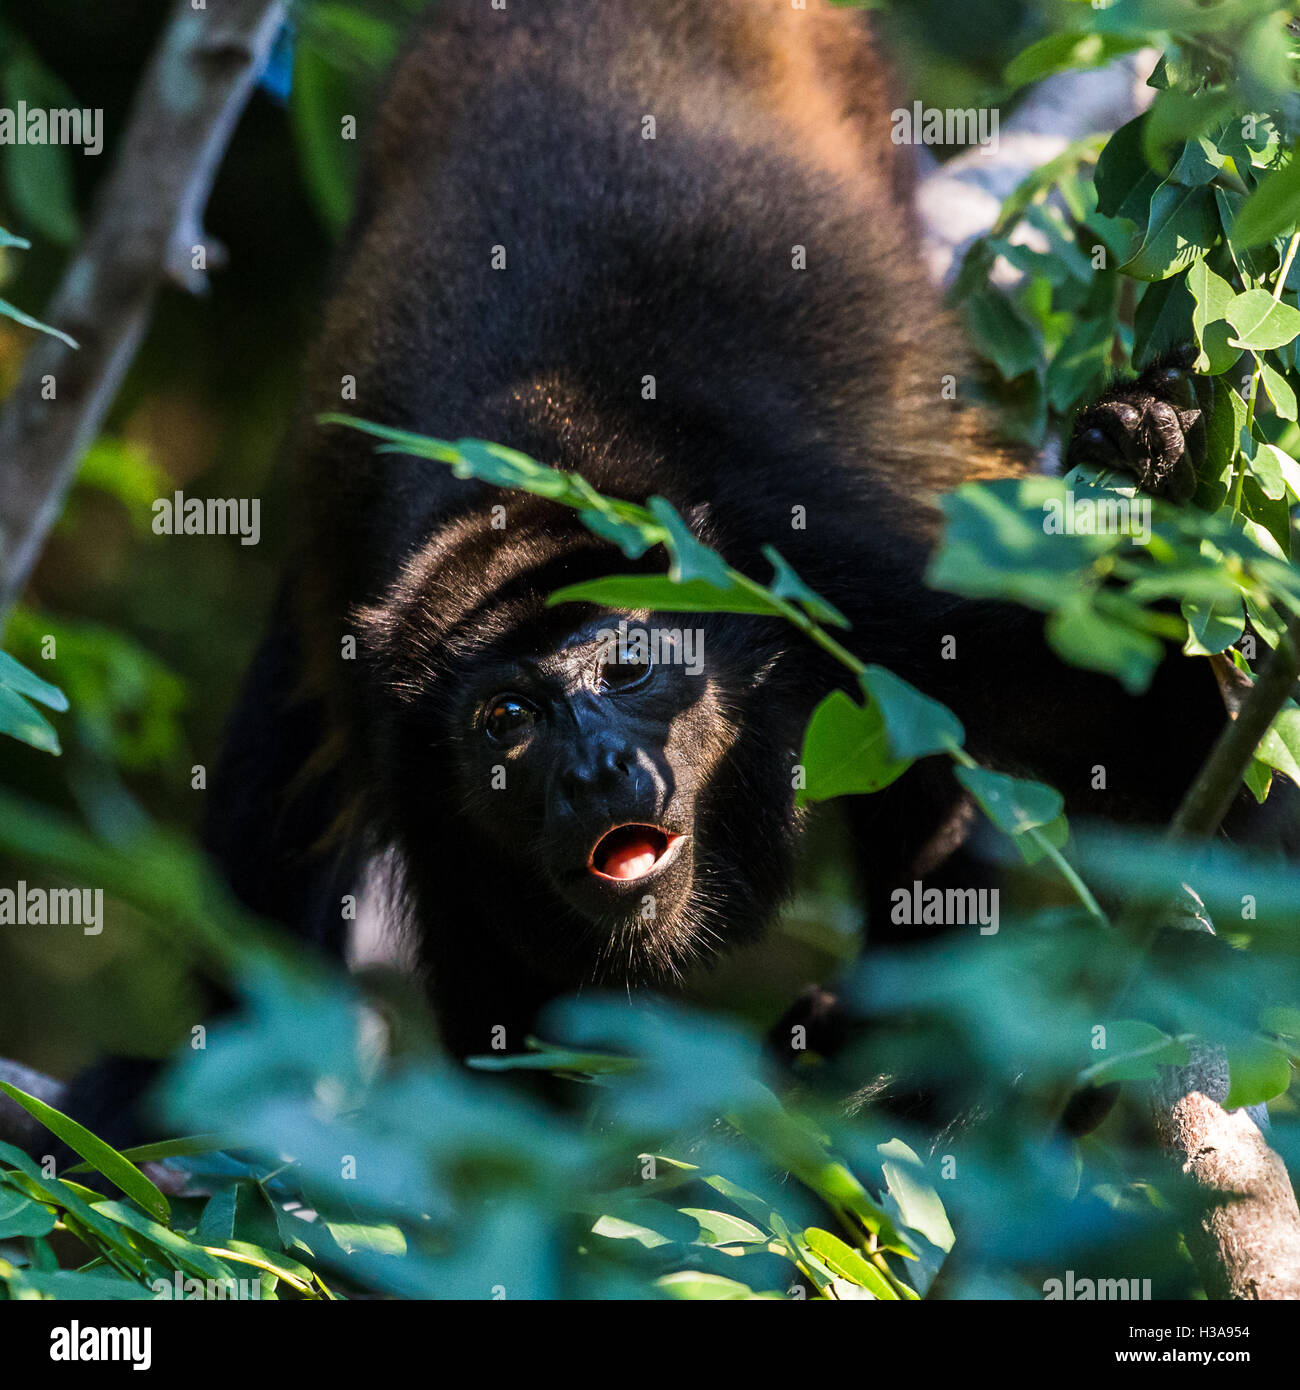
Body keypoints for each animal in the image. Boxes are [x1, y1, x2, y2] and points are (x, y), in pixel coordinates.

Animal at [45, 0, 1262, 1152]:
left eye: (630, 667)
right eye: (506, 718)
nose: (593, 770)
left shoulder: (833, 574)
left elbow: (1188, 772)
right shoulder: (409, 748)